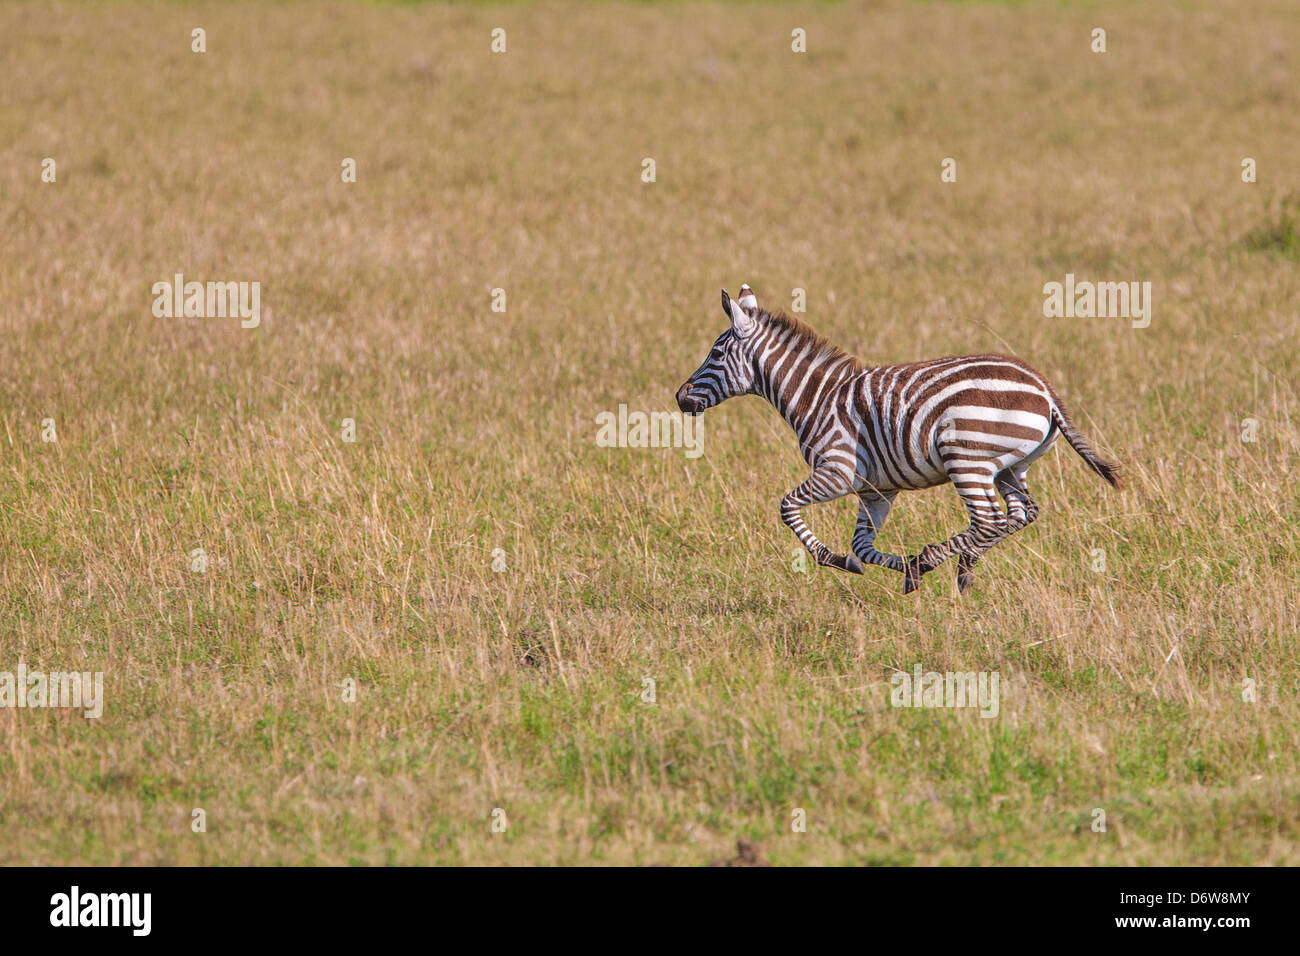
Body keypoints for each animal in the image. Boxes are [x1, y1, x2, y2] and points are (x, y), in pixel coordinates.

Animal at [674, 285, 1120, 593]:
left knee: (990, 518)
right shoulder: (877, 490)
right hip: (1012, 467)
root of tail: (1044, 389)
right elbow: (862, 546)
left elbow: (786, 507)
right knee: (1021, 514)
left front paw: (833, 557)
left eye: (716, 355)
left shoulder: (837, 471)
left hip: (967, 460)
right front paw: (891, 568)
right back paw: (960, 565)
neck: (816, 396)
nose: (679, 397)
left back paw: (935, 558)